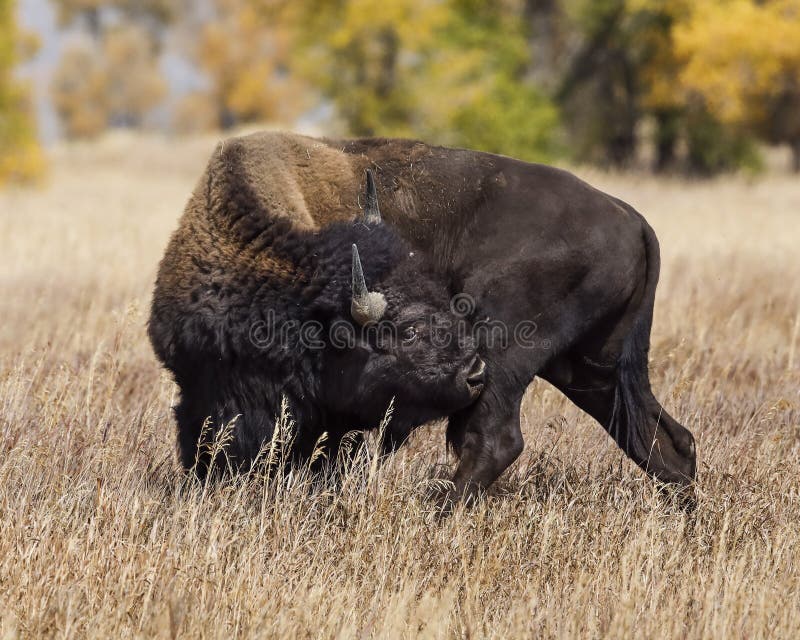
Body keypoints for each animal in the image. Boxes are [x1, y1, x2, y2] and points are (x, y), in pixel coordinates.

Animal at [149, 131, 696, 502]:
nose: (471, 373)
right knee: (667, 441)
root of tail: (633, 220)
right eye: (408, 329)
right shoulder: (202, 394)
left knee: (493, 440)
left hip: (513, 360)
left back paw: (440, 512)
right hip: (590, 370)